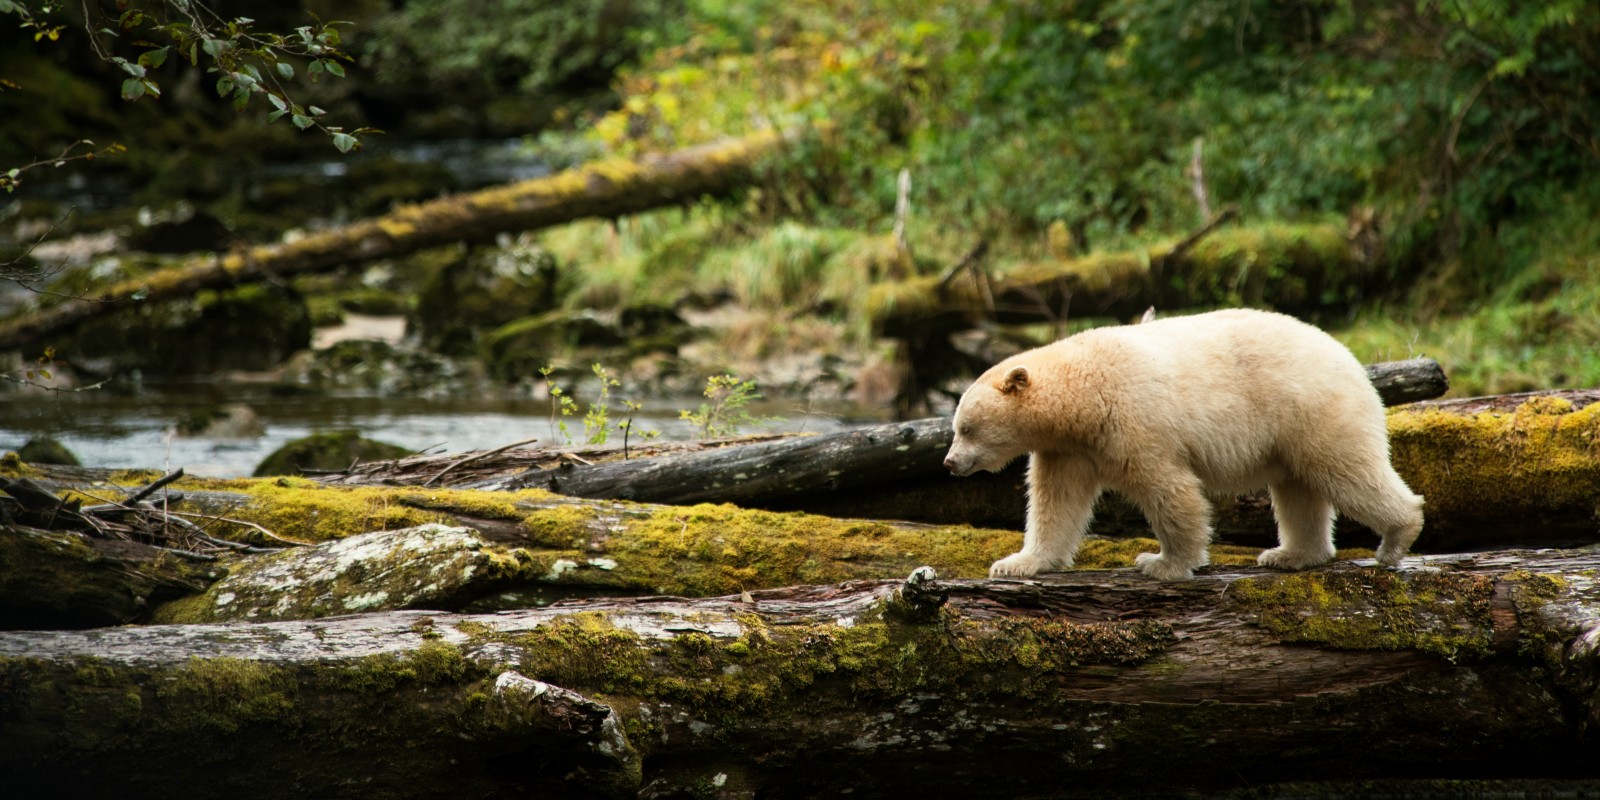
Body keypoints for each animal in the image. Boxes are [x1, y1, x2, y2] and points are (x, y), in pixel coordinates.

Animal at [942, 308, 1424, 581]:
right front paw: (1016, 563)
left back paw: (1397, 537)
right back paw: (1290, 555)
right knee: (1298, 488)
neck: (1084, 392)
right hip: (1291, 432)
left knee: (1347, 471)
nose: (949, 463)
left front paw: (1162, 564)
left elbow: (1169, 490)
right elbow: (1056, 501)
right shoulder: (1070, 447)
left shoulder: (1134, 422)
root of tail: (1351, 359)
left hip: (1313, 407)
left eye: (966, 428)